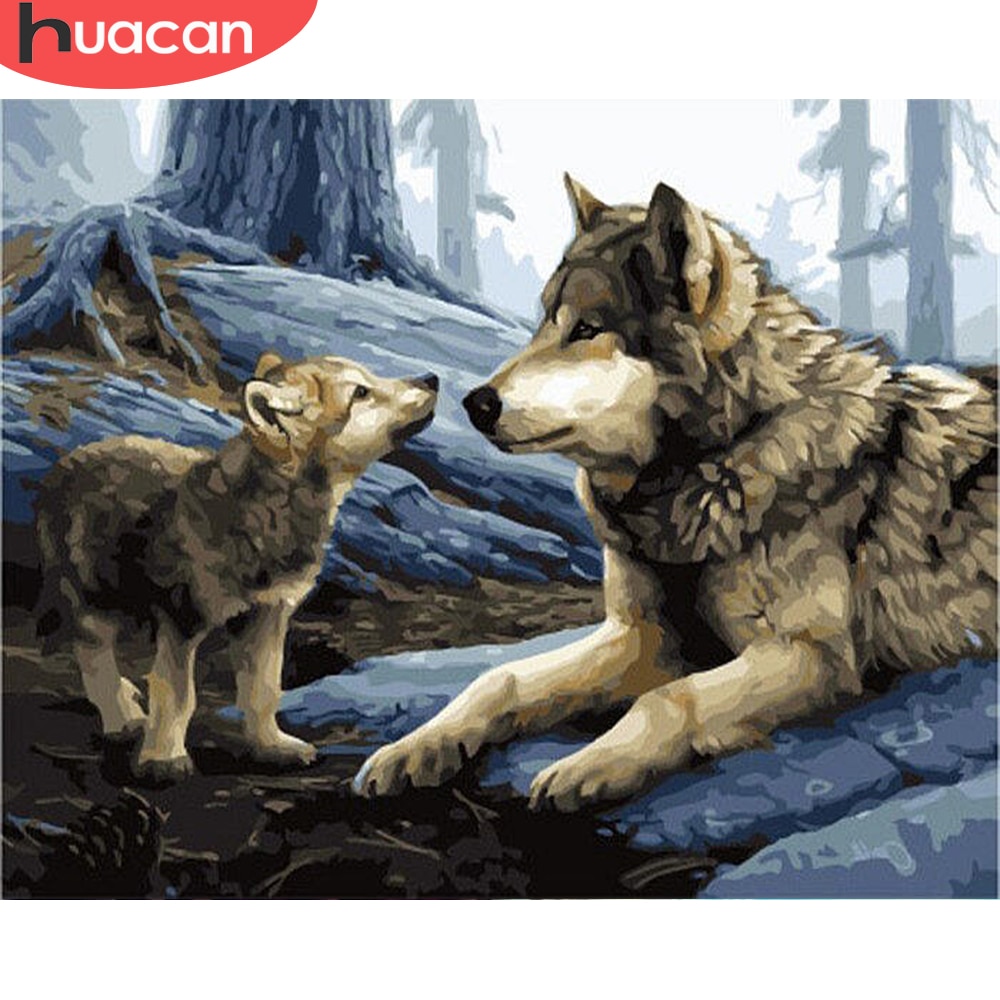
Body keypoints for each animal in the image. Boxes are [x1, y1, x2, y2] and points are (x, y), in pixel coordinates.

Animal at [35, 353, 437, 780]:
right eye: (360, 392)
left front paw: (272, 746)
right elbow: (178, 694)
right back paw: (123, 718)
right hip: (92, 598)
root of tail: (65, 463)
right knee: (94, 659)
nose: (432, 379)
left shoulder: (269, 614)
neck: (263, 512)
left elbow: (264, 689)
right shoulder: (182, 621)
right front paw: (164, 759)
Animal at [355, 175, 997, 811]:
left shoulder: (813, 656)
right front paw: (416, 747)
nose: (475, 402)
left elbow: (670, 699)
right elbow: (500, 679)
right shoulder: (645, 636)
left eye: (586, 330)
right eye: (543, 323)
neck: (710, 465)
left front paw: (588, 765)